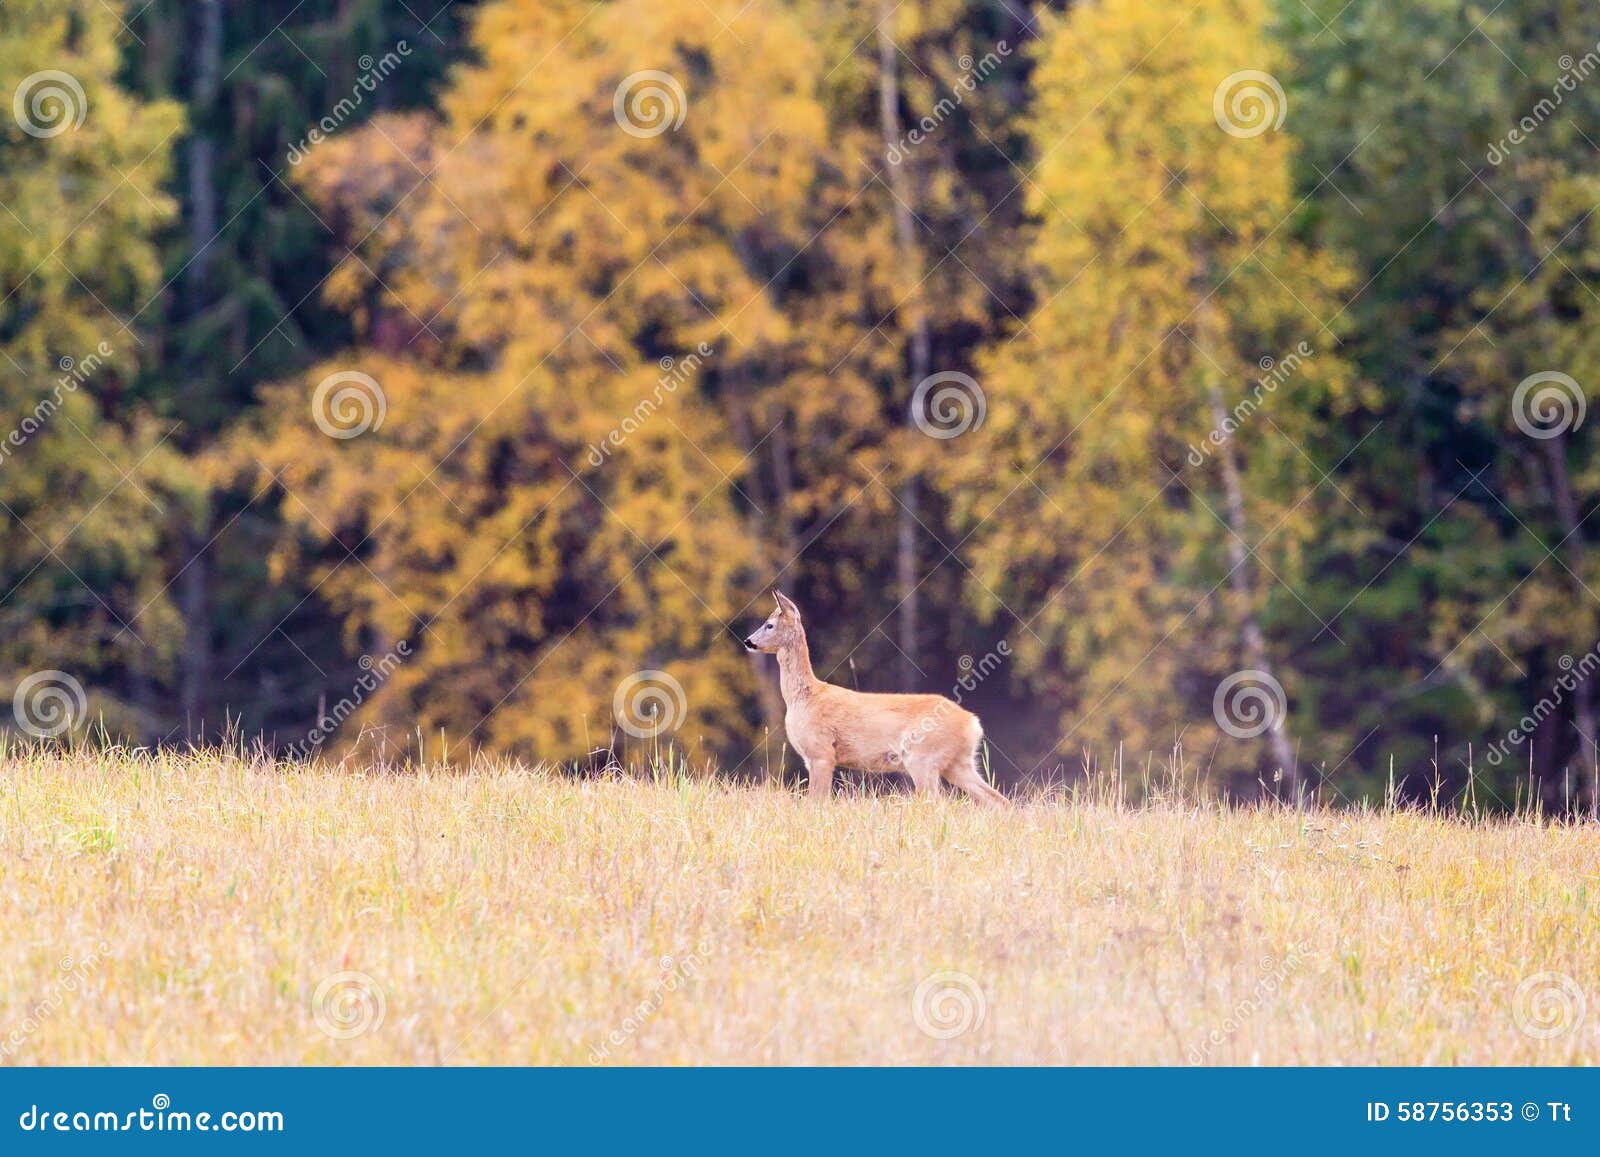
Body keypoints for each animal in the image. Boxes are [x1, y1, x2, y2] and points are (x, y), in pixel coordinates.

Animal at [743, 592, 1008, 807]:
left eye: (769, 625)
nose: (747, 641)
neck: (804, 698)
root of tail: (972, 723)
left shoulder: (821, 752)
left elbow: (815, 803)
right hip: (959, 763)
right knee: (998, 801)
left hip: (923, 758)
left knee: (938, 803)